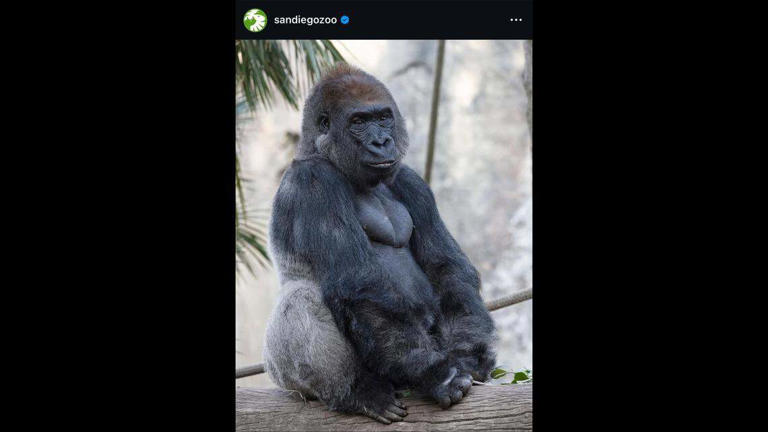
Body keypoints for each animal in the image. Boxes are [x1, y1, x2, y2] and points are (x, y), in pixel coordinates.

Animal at [263, 63, 496, 424]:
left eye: (384, 117)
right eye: (358, 122)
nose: (382, 141)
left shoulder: (412, 181)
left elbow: (448, 271)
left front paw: (470, 356)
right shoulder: (313, 181)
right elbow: (358, 281)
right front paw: (437, 375)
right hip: (284, 376)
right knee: (301, 296)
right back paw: (356, 391)